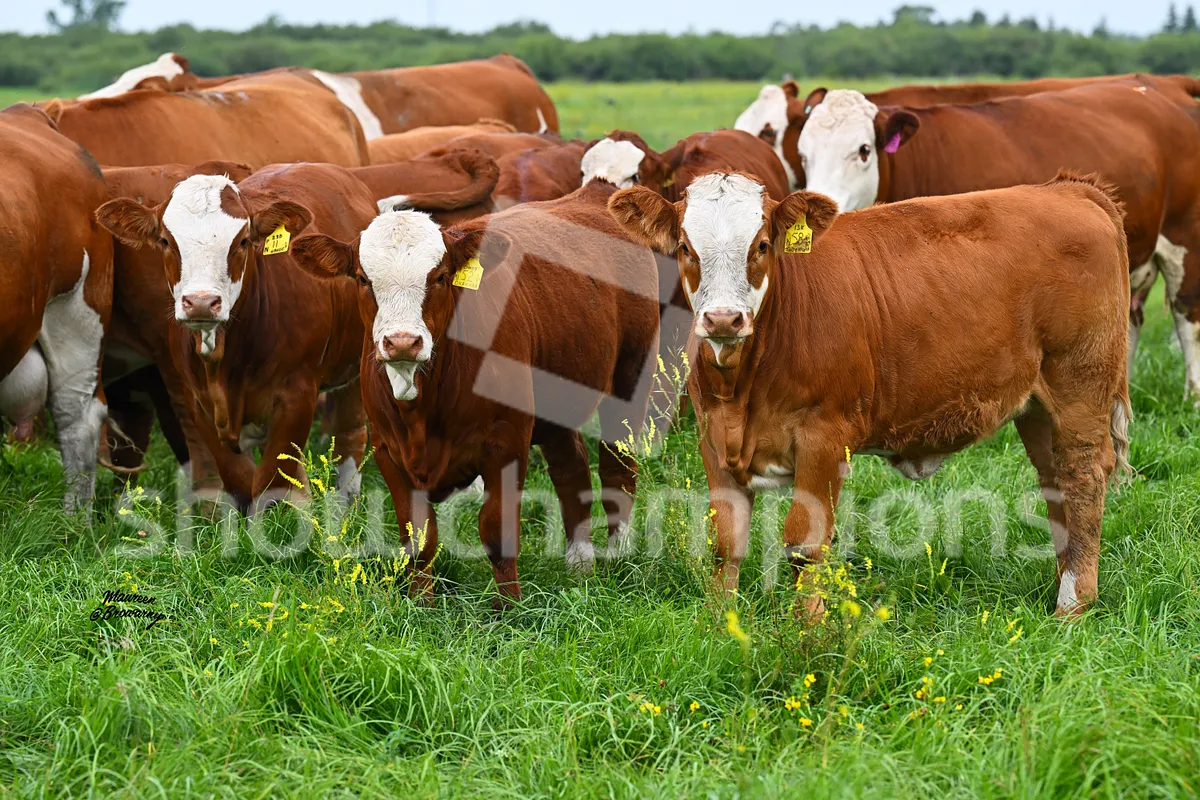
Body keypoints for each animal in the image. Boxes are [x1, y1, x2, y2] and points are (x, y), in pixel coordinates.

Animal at [96, 163, 379, 510]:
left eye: (243, 241)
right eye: (164, 240)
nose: (201, 302)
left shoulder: (297, 395)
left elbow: (271, 482)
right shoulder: (198, 403)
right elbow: (241, 482)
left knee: (350, 436)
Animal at [289, 138, 661, 605]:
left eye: (440, 275)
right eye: (361, 278)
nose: (402, 342)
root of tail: (595, 192)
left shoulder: (506, 445)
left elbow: (498, 532)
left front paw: (509, 609)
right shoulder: (390, 452)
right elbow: (418, 537)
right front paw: (421, 605)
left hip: (629, 381)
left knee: (617, 467)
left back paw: (619, 555)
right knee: (571, 468)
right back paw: (580, 564)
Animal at [610, 171, 1131, 617]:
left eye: (761, 245)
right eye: (685, 247)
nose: (722, 319)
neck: (742, 390)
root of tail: (1067, 189)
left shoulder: (824, 440)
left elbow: (805, 546)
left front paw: (809, 634)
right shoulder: (713, 441)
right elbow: (725, 544)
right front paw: (720, 625)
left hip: (1079, 384)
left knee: (1083, 475)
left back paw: (1073, 605)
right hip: (1038, 407)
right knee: (1055, 479)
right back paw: (1061, 585)